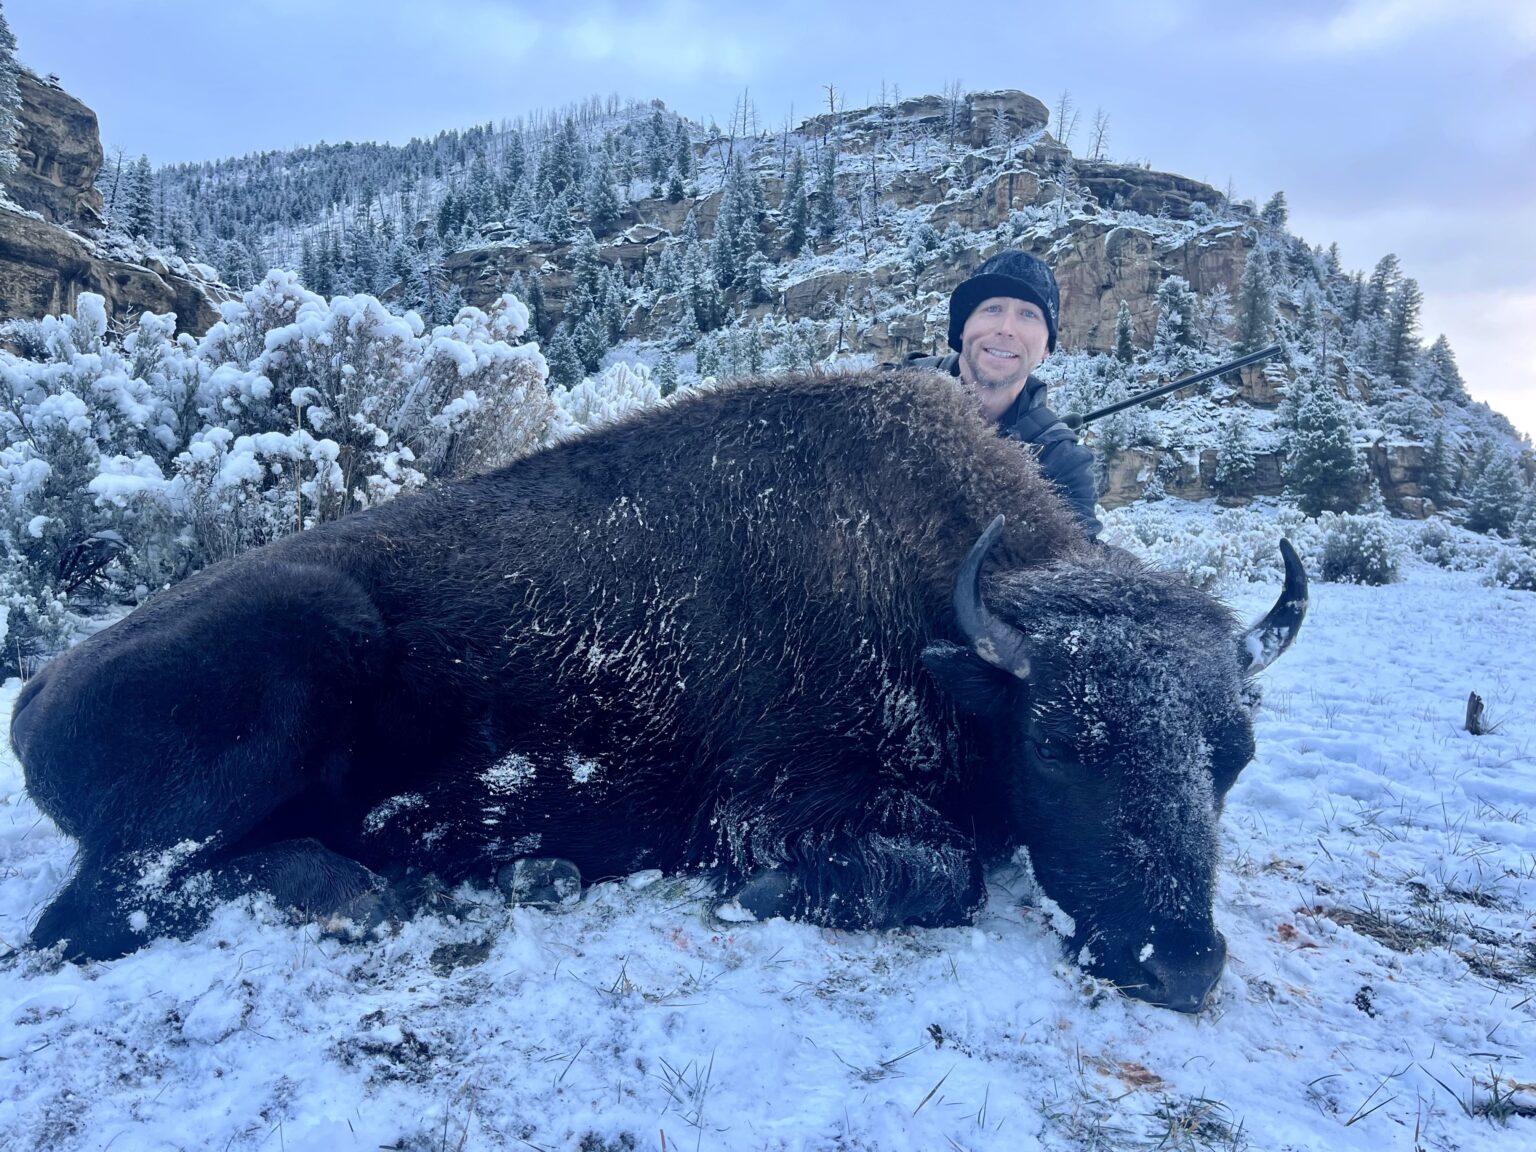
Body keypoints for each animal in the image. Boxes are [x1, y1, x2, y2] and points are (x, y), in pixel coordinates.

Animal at [12, 368, 1304, 1011]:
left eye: (1232, 757)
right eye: (1061, 744)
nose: (1178, 962)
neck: (939, 607)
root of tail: (34, 694)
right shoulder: (769, 805)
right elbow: (941, 873)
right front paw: (775, 895)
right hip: (299, 656)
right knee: (99, 911)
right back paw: (374, 892)